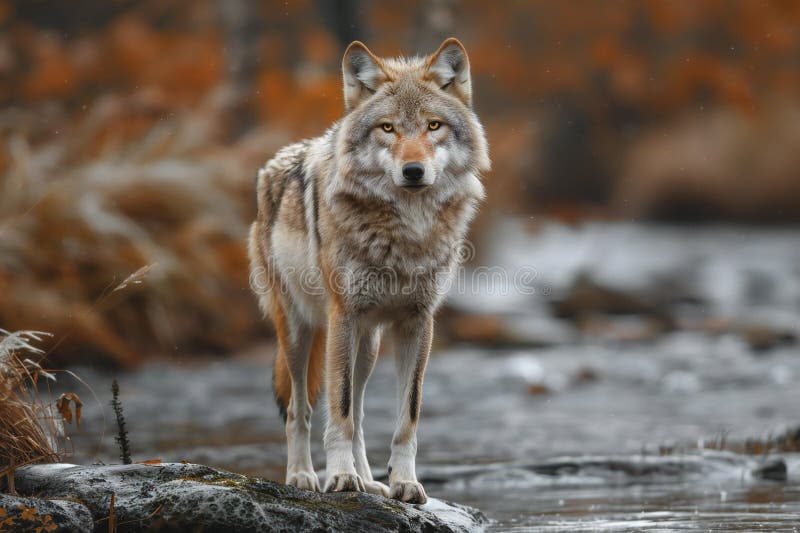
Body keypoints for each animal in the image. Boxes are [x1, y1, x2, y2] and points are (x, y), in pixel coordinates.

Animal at [247, 38, 489, 504]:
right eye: (388, 128)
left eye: (433, 126)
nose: (413, 171)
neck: (406, 231)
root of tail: (271, 166)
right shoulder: (343, 315)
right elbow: (336, 411)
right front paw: (340, 478)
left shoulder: (418, 322)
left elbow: (405, 416)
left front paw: (404, 483)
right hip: (302, 332)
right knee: (301, 409)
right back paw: (303, 475)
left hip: (368, 346)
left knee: (359, 414)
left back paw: (370, 481)